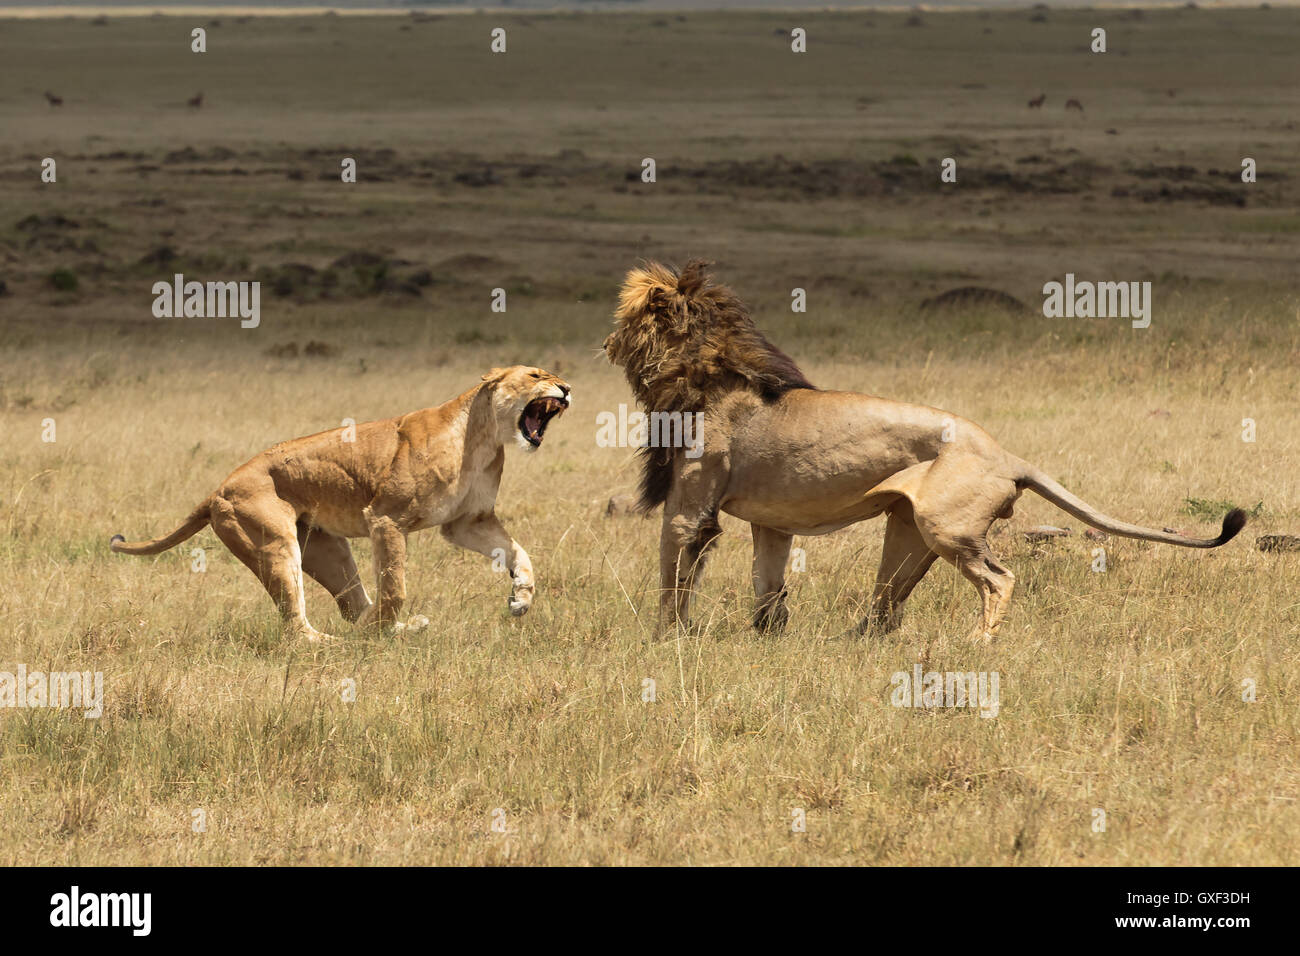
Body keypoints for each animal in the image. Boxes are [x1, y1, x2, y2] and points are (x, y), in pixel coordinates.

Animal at [110, 366, 570, 642]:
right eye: (535, 375)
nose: (566, 388)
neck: (484, 438)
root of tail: (217, 489)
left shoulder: (467, 521)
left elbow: (518, 552)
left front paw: (521, 597)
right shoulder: (386, 518)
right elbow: (395, 587)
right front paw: (382, 627)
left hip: (327, 549)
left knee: (350, 605)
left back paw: (391, 630)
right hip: (274, 544)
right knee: (296, 628)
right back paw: (343, 641)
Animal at [602, 260, 1245, 642]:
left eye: (624, 321)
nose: (604, 343)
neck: (702, 369)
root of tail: (1008, 456)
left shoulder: (689, 510)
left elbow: (673, 579)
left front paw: (663, 642)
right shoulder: (771, 522)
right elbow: (768, 584)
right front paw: (767, 639)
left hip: (945, 524)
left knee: (1000, 579)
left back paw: (977, 645)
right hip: (909, 529)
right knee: (890, 605)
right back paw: (855, 641)